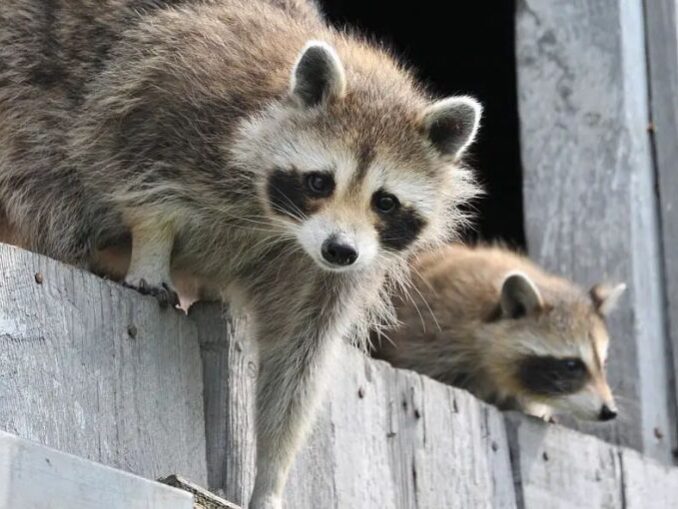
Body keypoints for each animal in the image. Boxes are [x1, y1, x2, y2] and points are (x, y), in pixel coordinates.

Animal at [0, 1, 481, 507]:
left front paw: (271, 474)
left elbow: (297, 363)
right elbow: (137, 175)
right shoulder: (170, 96)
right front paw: (151, 248)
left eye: (384, 202)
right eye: (319, 181)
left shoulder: (327, 272)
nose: (340, 249)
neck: (280, 223)